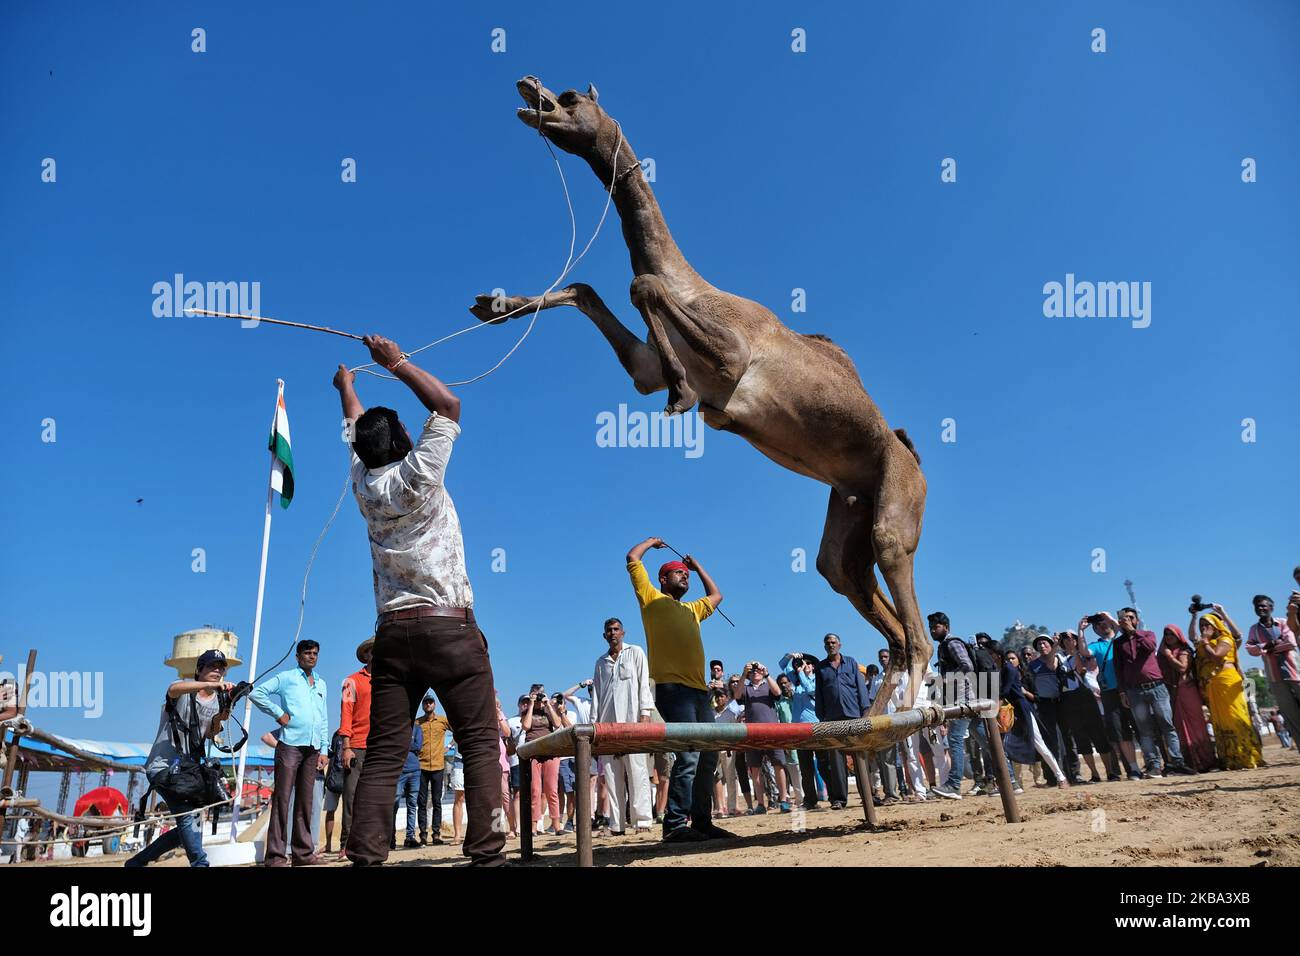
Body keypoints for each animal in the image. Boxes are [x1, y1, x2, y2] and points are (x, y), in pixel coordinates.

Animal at [470, 77, 931, 710]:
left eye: (571, 98)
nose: (528, 85)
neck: (695, 285)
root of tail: (910, 453)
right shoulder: (643, 368)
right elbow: (592, 289)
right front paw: (494, 306)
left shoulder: (735, 359)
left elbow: (642, 284)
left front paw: (683, 395)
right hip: (852, 504)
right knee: (857, 590)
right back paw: (875, 722)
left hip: (898, 499)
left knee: (916, 626)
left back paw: (917, 713)